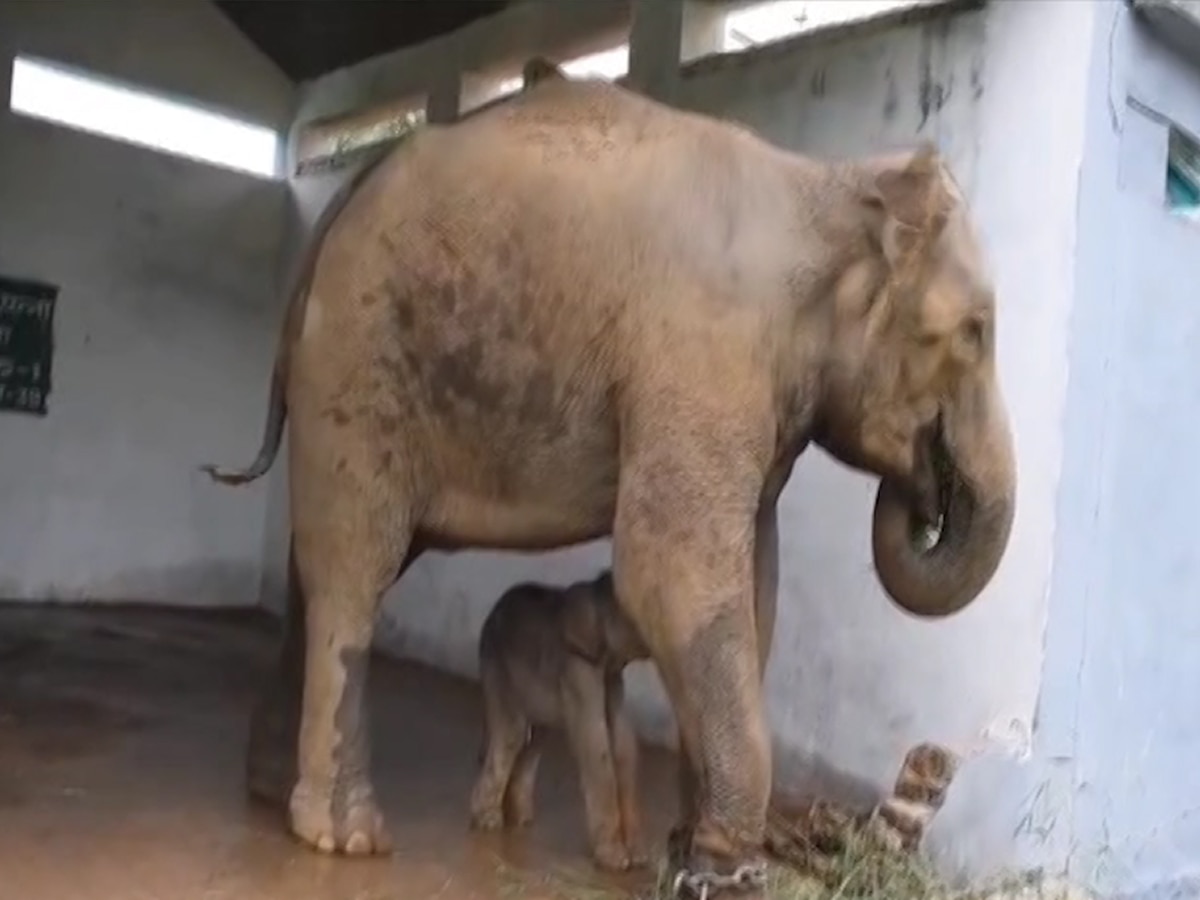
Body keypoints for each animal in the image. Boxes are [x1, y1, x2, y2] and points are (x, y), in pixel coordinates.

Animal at [469, 569, 649, 871]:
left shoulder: (610, 673)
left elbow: (623, 740)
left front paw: (638, 857)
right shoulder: (576, 663)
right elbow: (594, 739)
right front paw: (615, 860)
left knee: (536, 738)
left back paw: (520, 819)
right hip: (495, 659)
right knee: (512, 734)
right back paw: (488, 821)